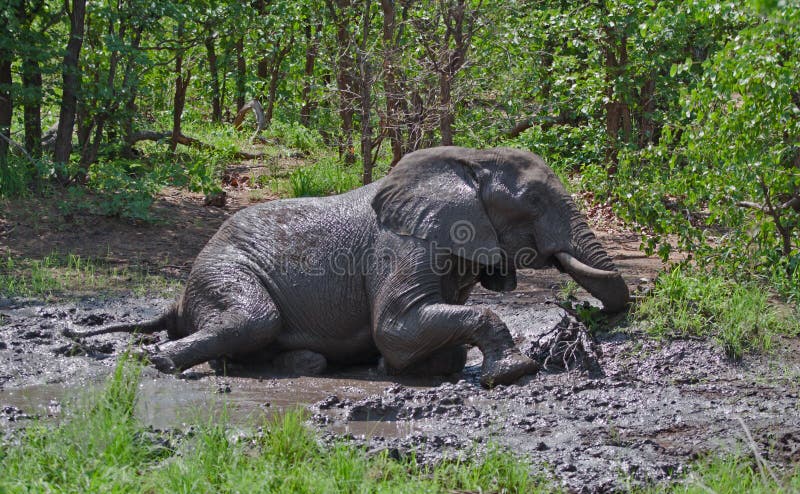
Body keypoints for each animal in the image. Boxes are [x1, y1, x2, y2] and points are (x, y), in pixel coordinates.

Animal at [66, 146, 630, 387]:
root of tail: (179, 298)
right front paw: (515, 372)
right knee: (250, 319)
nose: (585, 312)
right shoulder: (400, 245)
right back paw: (161, 362)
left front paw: (391, 368)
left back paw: (304, 364)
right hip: (224, 271)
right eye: (533, 200)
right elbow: (394, 328)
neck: (467, 160)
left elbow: (421, 343)